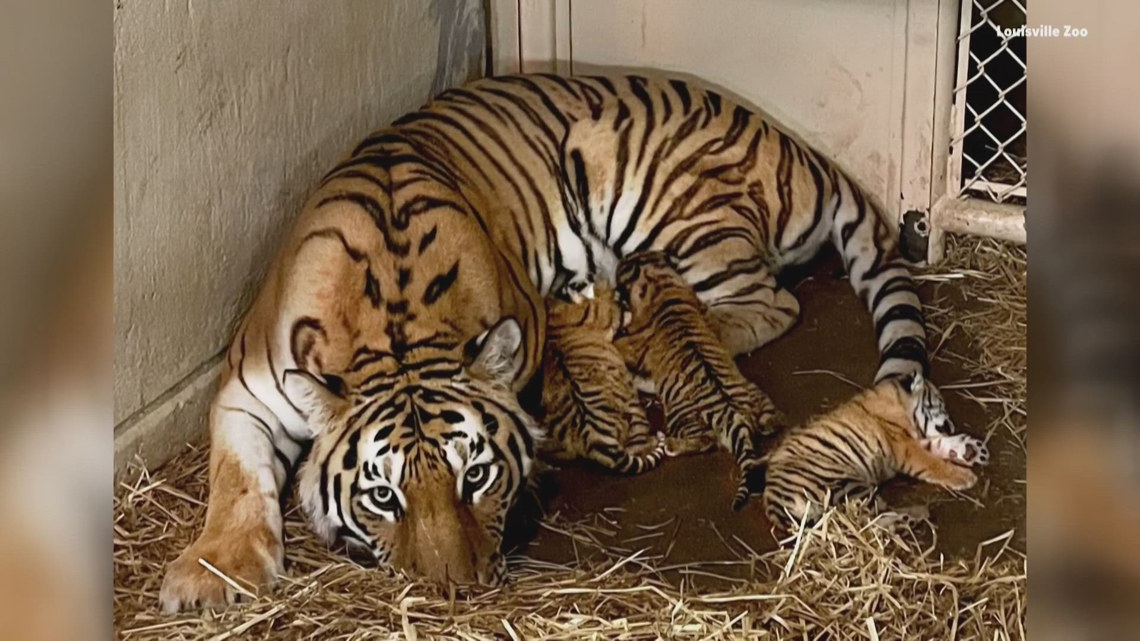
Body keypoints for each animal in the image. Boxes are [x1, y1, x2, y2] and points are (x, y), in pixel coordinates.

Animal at [612, 250, 783, 511]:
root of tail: (733, 414)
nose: (624, 256)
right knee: (769, 422)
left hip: (679, 418)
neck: (656, 282)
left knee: (705, 440)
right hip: (755, 394)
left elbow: (623, 345)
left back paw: (670, 445)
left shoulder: (635, 342)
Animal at [761, 371, 989, 531]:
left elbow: (937, 445)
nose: (951, 425)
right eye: (940, 404)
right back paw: (917, 514)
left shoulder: (911, 441)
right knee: (871, 518)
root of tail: (772, 505)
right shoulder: (904, 446)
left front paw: (969, 450)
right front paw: (965, 477)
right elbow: (932, 462)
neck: (899, 402)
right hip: (840, 482)